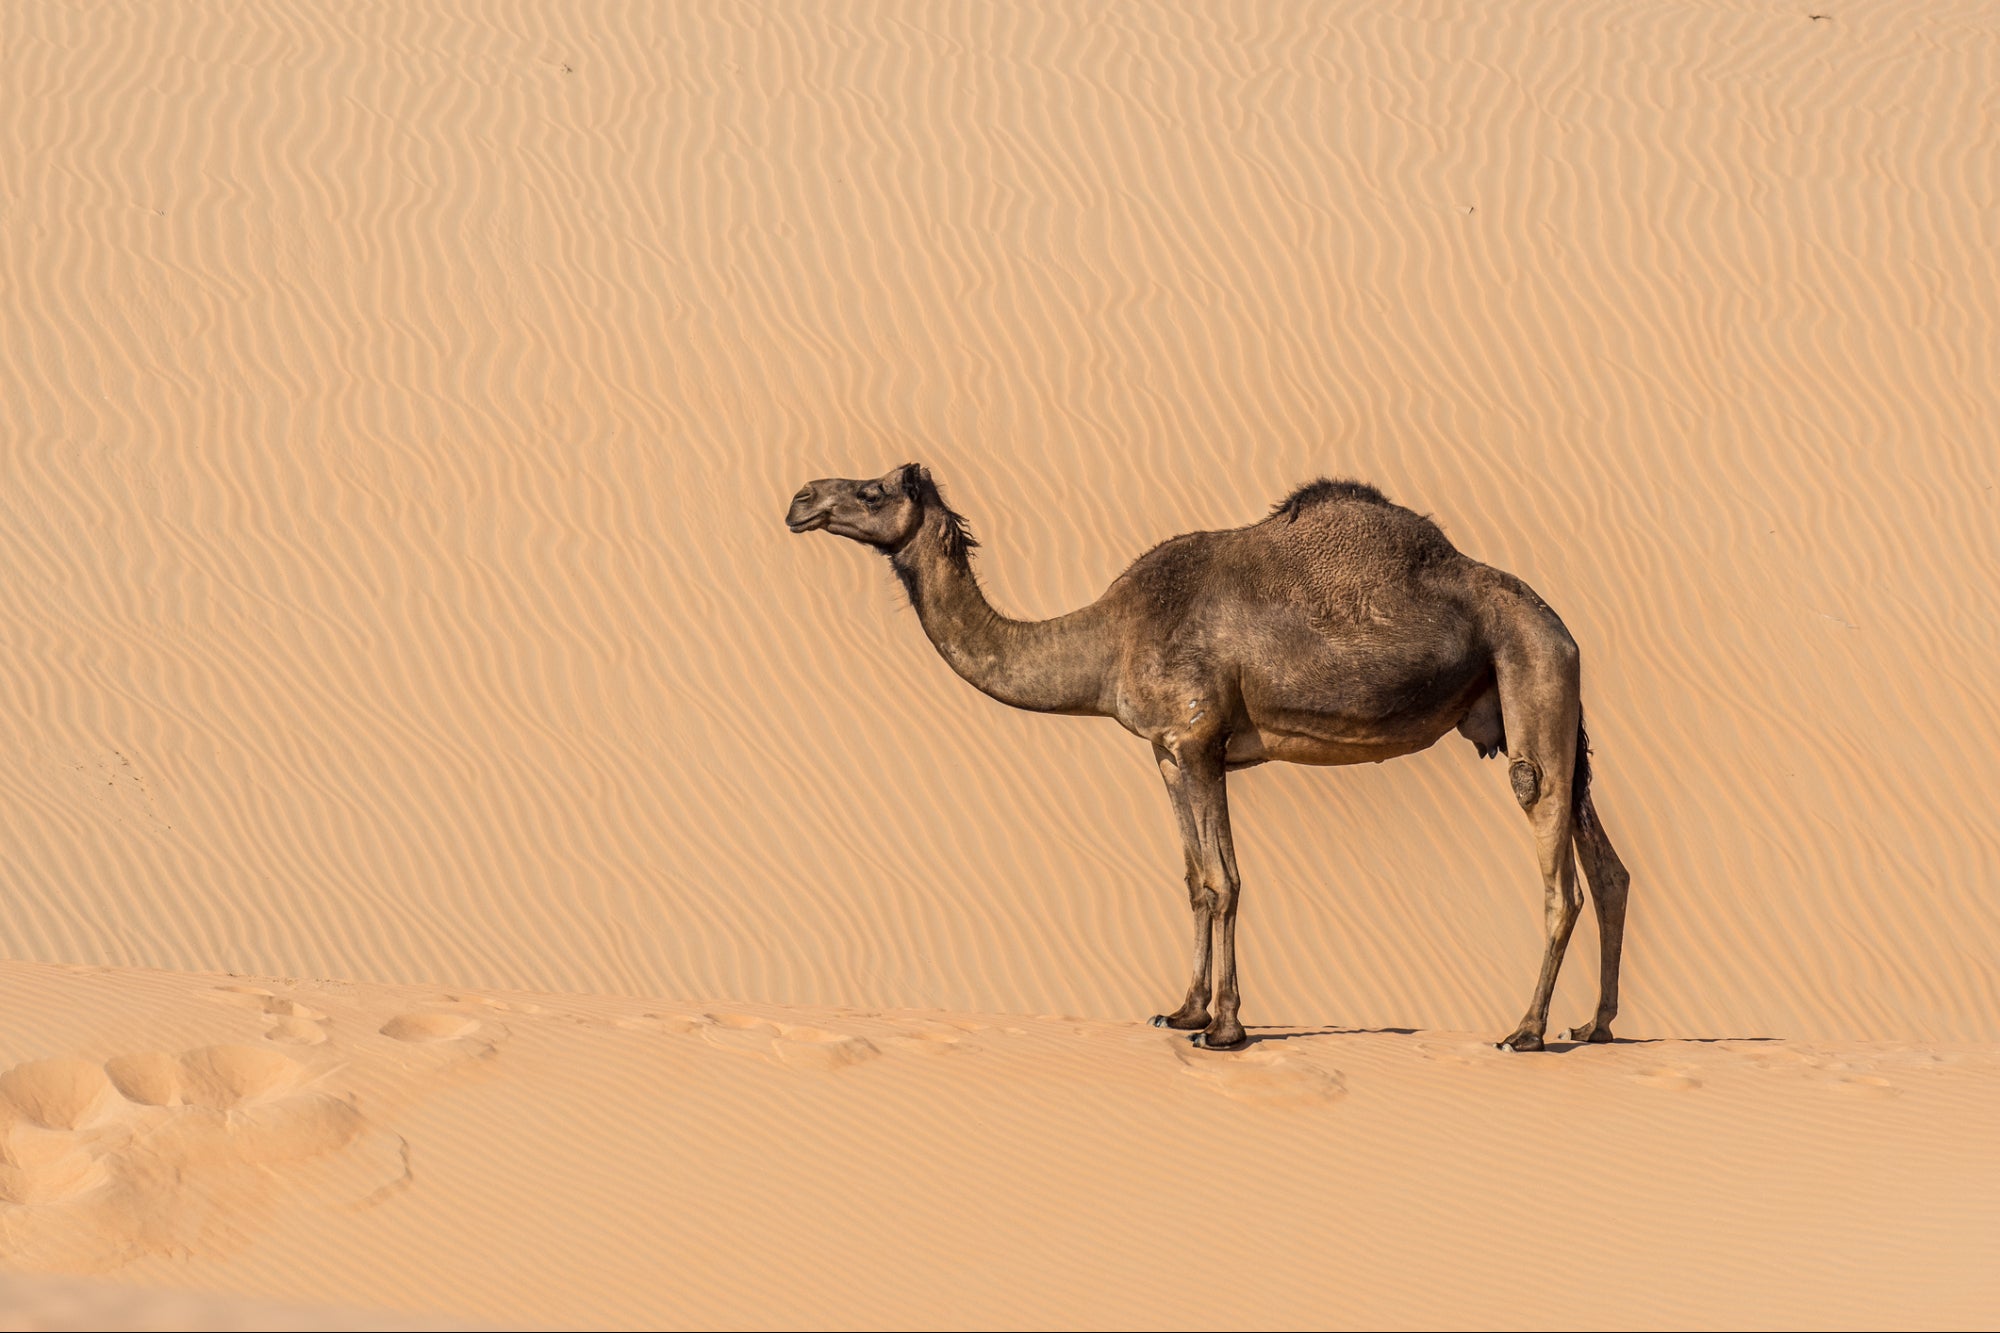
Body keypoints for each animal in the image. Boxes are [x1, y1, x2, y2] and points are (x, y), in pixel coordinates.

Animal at [786, 464, 1631, 1052]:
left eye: (869, 490)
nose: (800, 500)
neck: (1108, 638)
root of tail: (1561, 626)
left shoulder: (1197, 741)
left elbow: (1225, 881)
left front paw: (1224, 1029)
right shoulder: (1169, 752)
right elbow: (1195, 879)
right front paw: (1182, 1008)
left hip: (1531, 674)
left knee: (1555, 860)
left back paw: (1525, 1030)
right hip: (1551, 701)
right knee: (1608, 866)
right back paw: (1594, 1027)